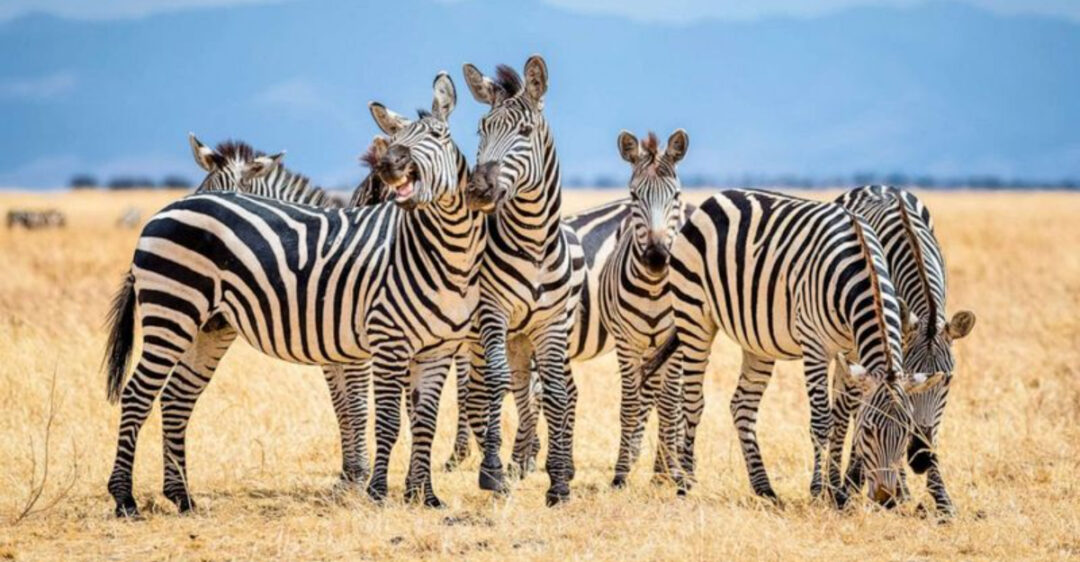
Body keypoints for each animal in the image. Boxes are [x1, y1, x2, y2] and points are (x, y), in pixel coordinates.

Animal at [101, 72, 483, 516]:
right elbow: (374, 414)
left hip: (208, 327)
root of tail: (161, 213)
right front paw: (370, 489)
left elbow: (420, 418)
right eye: (397, 139)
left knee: (176, 398)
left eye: (439, 135)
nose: (390, 166)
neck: (443, 250)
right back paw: (125, 499)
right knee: (137, 395)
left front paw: (422, 495)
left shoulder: (431, 348)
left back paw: (182, 496)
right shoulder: (380, 342)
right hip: (172, 312)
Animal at [459, 55, 579, 506]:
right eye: (481, 129)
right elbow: (495, 385)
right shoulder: (492, 313)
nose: (478, 190)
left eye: (525, 132)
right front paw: (491, 471)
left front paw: (558, 481)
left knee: (530, 391)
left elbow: (557, 392)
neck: (534, 243)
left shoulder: (550, 324)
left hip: (523, 338)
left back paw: (527, 461)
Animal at [601, 130, 693, 488]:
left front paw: (671, 473)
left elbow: (669, 406)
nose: (656, 258)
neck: (654, 288)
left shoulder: (677, 345)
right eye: (633, 195)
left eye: (676, 195)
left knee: (675, 401)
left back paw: (668, 466)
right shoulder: (626, 344)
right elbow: (630, 404)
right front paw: (620, 472)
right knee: (646, 396)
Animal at [645, 189, 931, 507]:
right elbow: (823, 421)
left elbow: (842, 419)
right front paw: (819, 490)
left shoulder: (852, 352)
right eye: (868, 430)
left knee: (742, 405)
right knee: (693, 400)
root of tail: (714, 199)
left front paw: (837, 492)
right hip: (694, 315)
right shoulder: (815, 347)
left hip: (756, 340)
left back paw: (764, 488)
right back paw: (686, 484)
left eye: (907, 432)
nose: (886, 498)